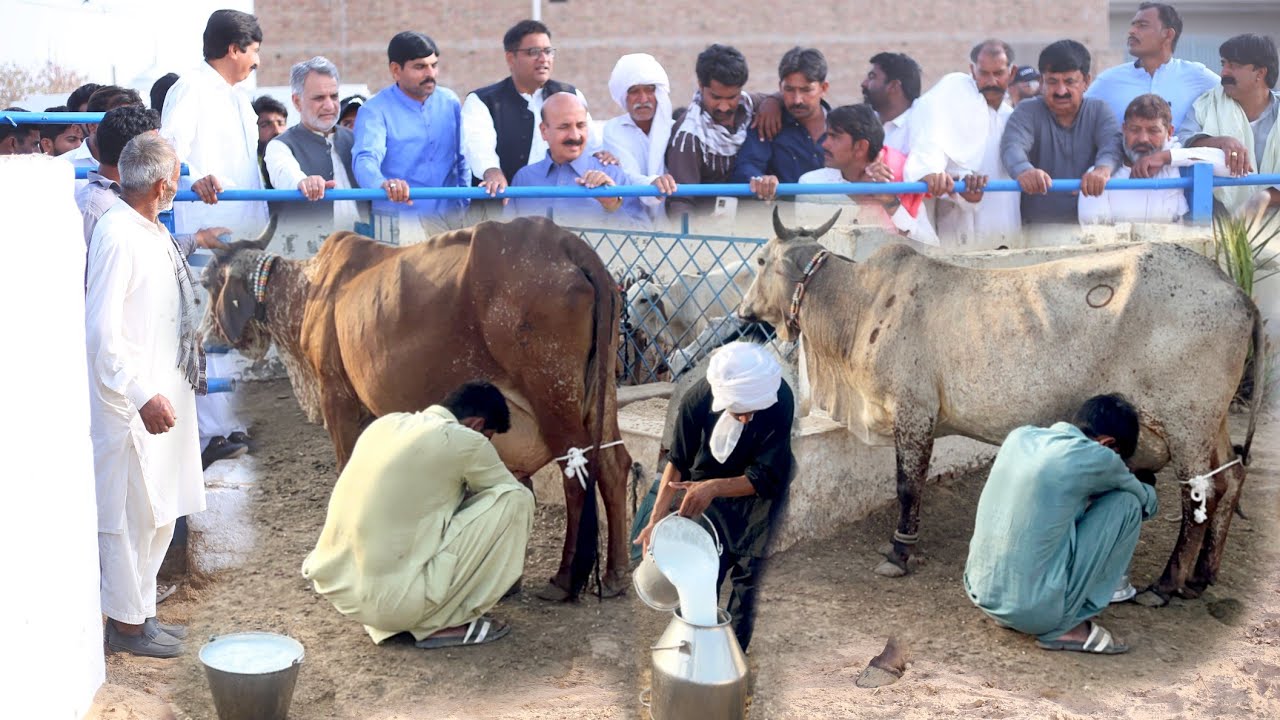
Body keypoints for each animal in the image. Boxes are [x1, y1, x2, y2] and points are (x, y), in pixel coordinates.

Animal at [200, 216, 634, 600]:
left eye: (206, 282)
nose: (204, 339)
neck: (307, 291)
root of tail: (567, 243)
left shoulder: (336, 396)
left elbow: (345, 469)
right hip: (600, 390)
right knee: (615, 465)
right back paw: (616, 575)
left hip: (552, 392)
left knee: (576, 476)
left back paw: (565, 580)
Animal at [738, 208, 1263, 605]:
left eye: (761, 259)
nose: (743, 310)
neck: (860, 304)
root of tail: (1237, 292)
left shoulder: (914, 411)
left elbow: (908, 486)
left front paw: (899, 552)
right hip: (1210, 422)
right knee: (1232, 477)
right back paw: (1202, 576)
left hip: (1186, 422)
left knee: (1199, 493)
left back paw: (1169, 584)